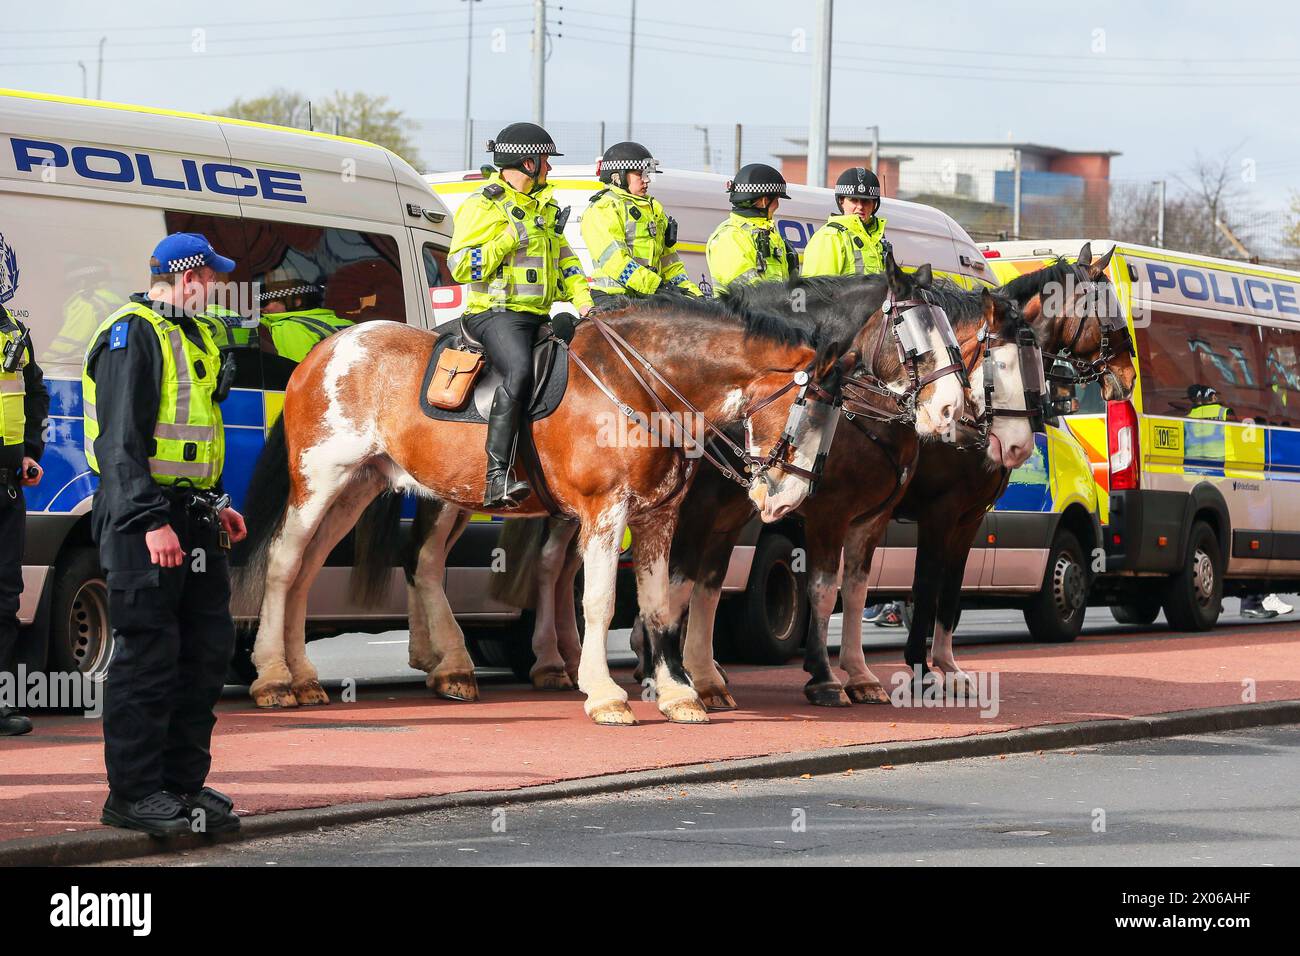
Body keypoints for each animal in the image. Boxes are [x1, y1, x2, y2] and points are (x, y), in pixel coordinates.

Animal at [236, 270, 967, 726]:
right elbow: (601, 601)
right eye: (914, 342)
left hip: (359, 488)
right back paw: (273, 679)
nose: (785, 498)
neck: (646, 382)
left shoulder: (661, 516)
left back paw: (308, 676)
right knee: (284, 565)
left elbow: (661, 601)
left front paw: (676, 693)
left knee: (315, 572)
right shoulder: (606, 513)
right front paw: (609, 694)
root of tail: (329, 345)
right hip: (320, 483)